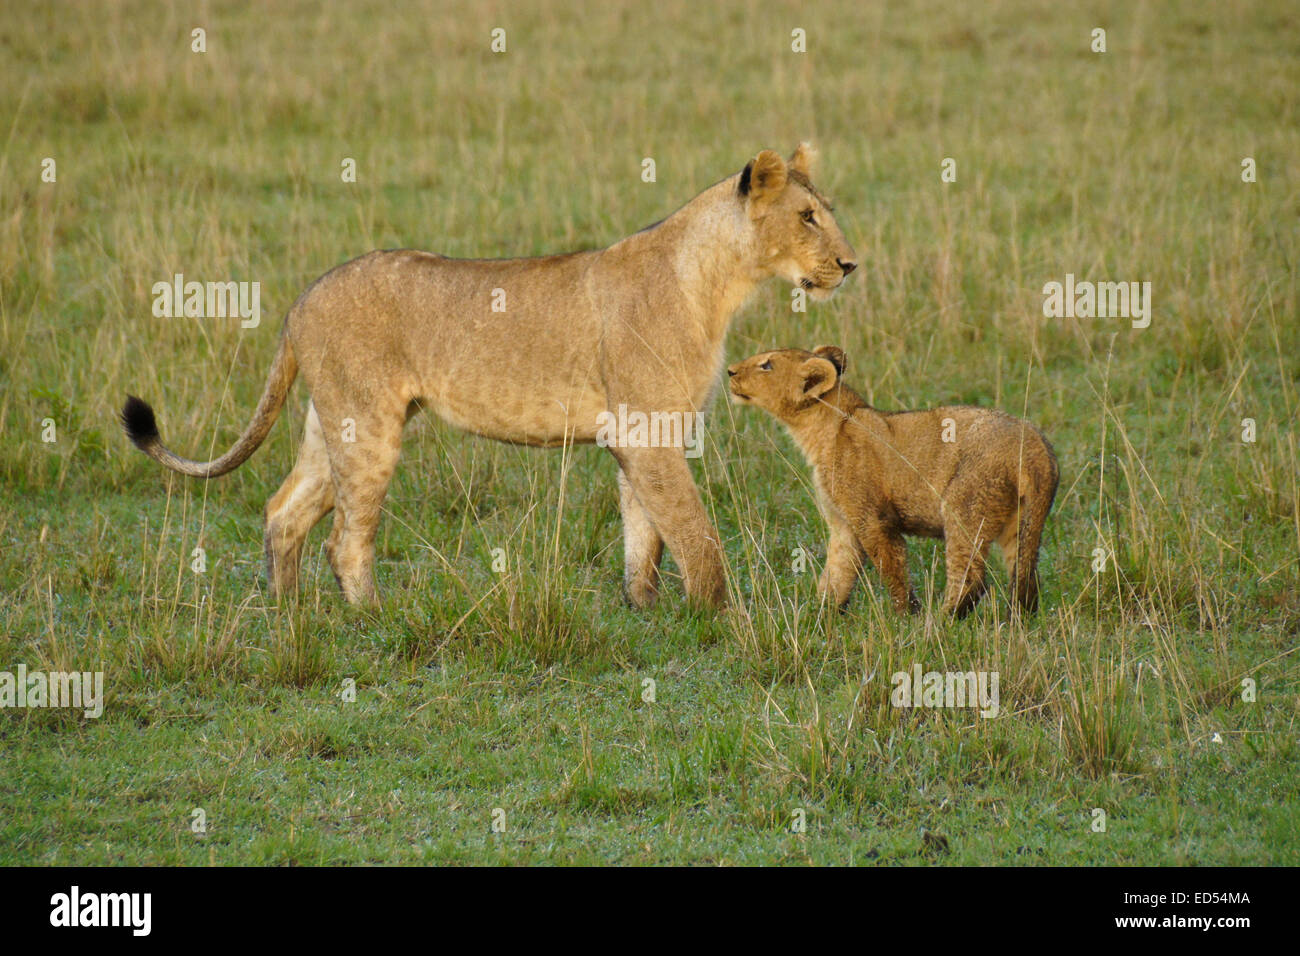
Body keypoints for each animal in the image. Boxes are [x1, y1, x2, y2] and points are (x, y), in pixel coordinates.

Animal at [122, 145, 857, 607]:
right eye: (807, 216)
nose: (851, 265)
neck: (720, 280)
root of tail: (301, 298)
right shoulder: (648, 431)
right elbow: (693, 533)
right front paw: (719, 614)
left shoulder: (642, 434)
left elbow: (644, 533)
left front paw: (644, 607)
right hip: (369, 427)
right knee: (344, 539)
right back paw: (369, 617)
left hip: (330, 423)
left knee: (284, 513)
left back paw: (288, 614)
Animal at [727, 346, 1059, 616]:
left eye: (767, 365)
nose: (730, 371)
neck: (824, 428)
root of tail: (1035, 447)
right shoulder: (844, 524)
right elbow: (836, 573)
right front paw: (820, 616)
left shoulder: (874, 519)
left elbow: (893, 568)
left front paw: (906, 617)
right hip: (1022, 522)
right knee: (1025, 577)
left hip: (965, 507)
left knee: (970, 578)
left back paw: (941, 621)